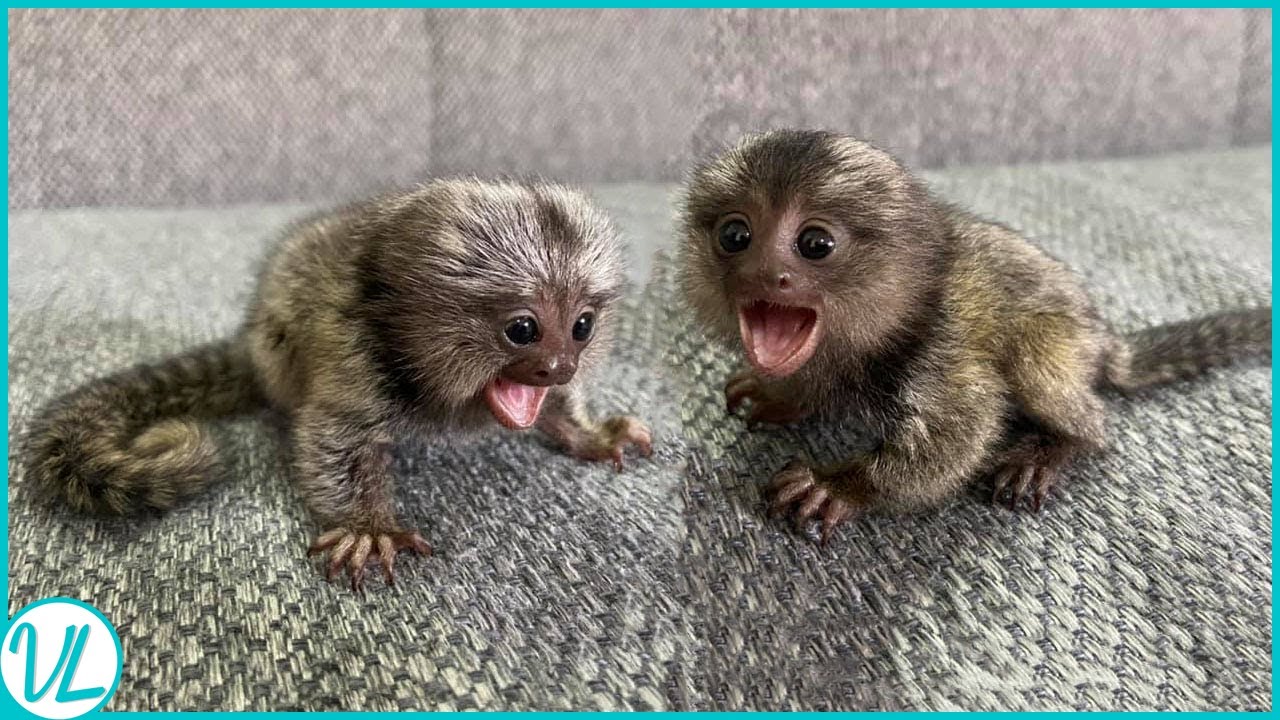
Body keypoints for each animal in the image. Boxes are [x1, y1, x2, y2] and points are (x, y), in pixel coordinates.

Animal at [25, 178, 653, 589]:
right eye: (523, 329)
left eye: (581, 326)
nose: (559, 365)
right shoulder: (358, 356)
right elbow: (335, 439)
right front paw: (368, 528)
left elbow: (560, 411)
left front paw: (590, 435)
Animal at [677, 129, 1270, 544]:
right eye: (736, 236)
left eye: (815, 244)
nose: (763, 274)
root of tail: (1101, 338)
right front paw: (781, 395)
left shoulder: (939, 349)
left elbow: (960, 432)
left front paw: (839, 484)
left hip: (1060, 342)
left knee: (1051, 379)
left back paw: (1059, 446)